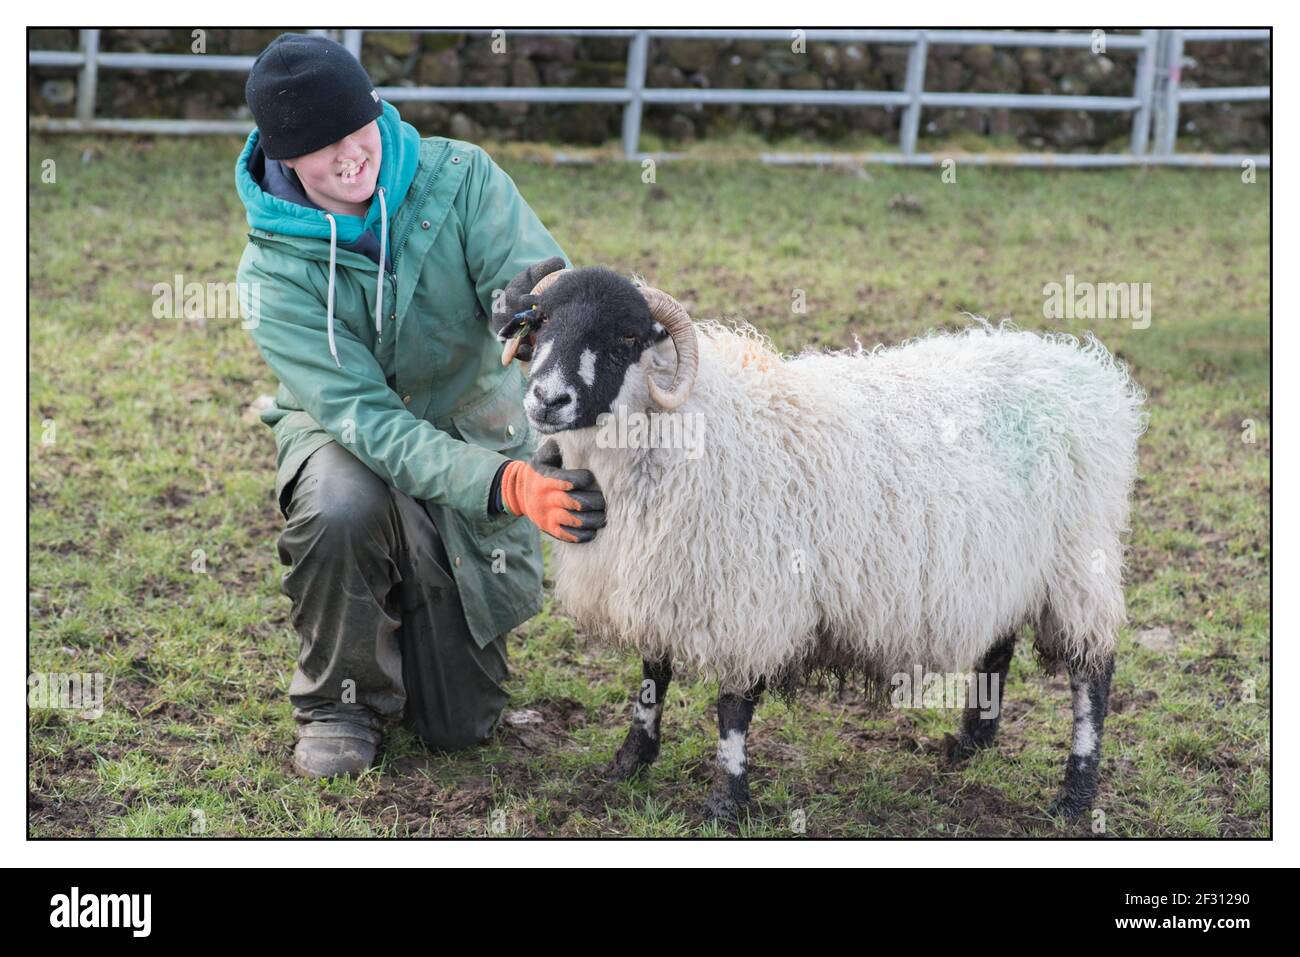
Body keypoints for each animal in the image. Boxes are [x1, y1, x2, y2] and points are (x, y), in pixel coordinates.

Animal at [495, 258, 1147, 822]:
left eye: (625, 338)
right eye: (540, 322)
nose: (547, 400)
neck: (678, 428)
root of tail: (1080, 369)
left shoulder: (748, 595)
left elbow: (733, 706)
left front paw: (726, 802)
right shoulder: (665, 576)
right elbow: (653, 674)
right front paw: (629, 762)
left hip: (1077, 560)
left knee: (1092, 672)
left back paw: (1075, 794)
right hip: (1005, 558)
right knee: (999, 642)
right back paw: (971, 741)